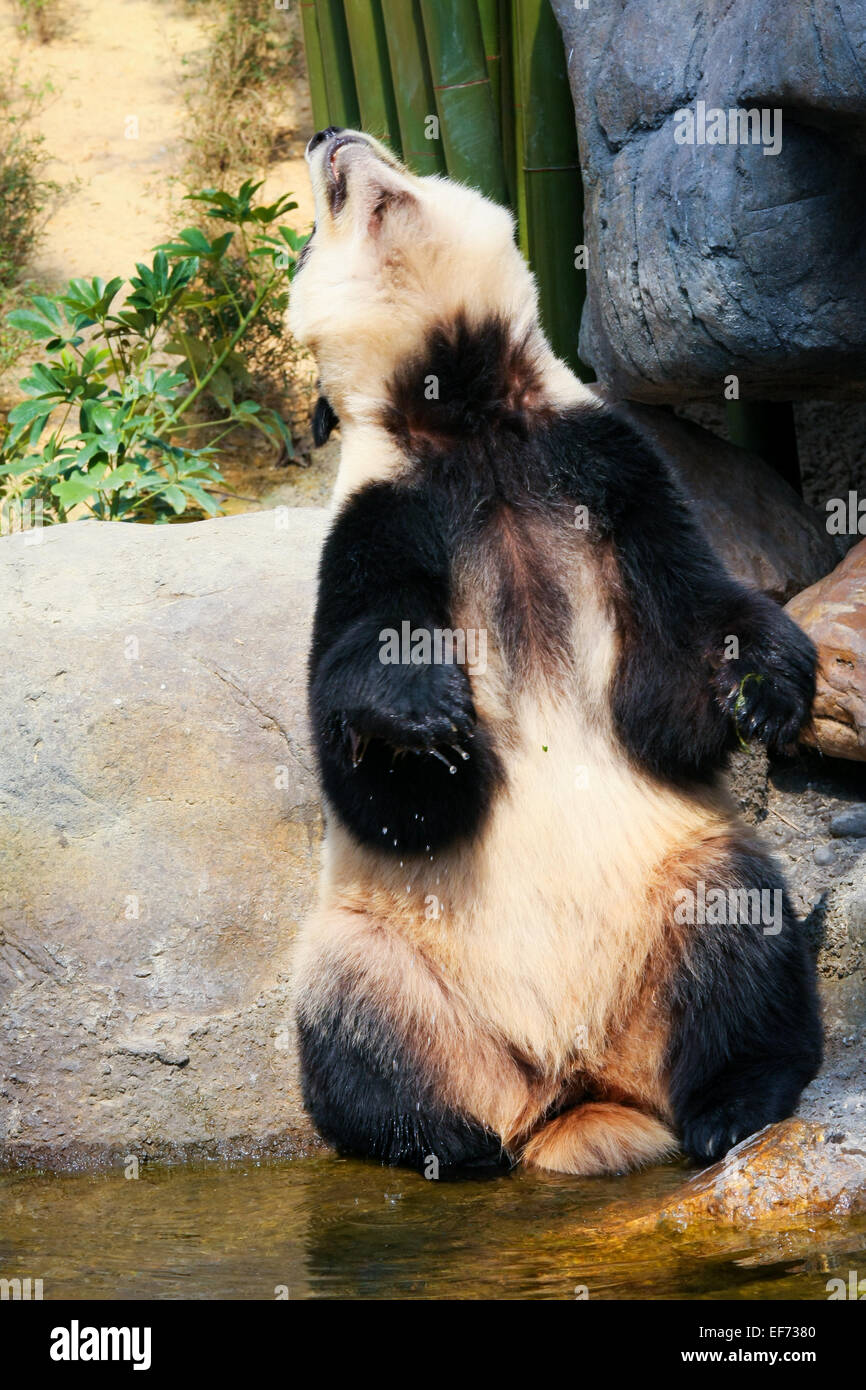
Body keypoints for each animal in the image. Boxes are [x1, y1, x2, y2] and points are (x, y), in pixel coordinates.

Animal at [288, 126, 822, 1177]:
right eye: (320, 216)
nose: (331, 136)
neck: (466, 413)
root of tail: (578, 1077)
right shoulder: (376, 515)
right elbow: (377, 784)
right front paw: (423, 717)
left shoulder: (602, 462)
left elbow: (673, 669)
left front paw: (760, 688)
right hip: (402, 957)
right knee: (355, 1014)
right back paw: (451, 1143)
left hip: (672, 895)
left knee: (735, 931)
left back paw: (732, 1103)